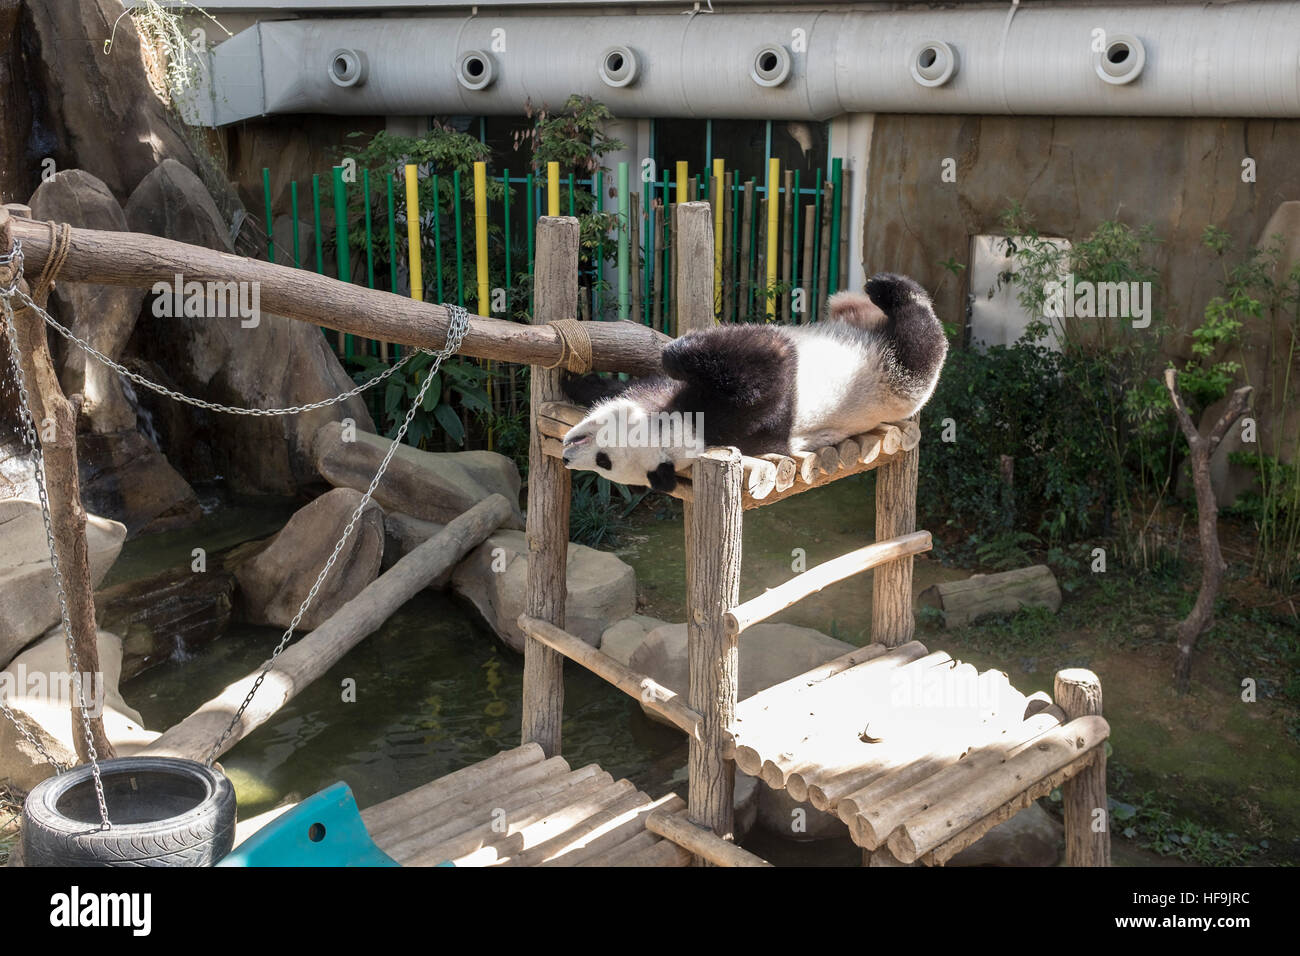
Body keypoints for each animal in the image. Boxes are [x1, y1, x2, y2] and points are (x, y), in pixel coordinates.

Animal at [560, 272, 948, 493]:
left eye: (603, 460)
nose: (566, 458)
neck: (696, 428)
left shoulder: (740, 405)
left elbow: (768, 361)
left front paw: (677, 351)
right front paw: (578, 382)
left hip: (893, 376)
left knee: (920, 344)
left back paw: (892, 290)